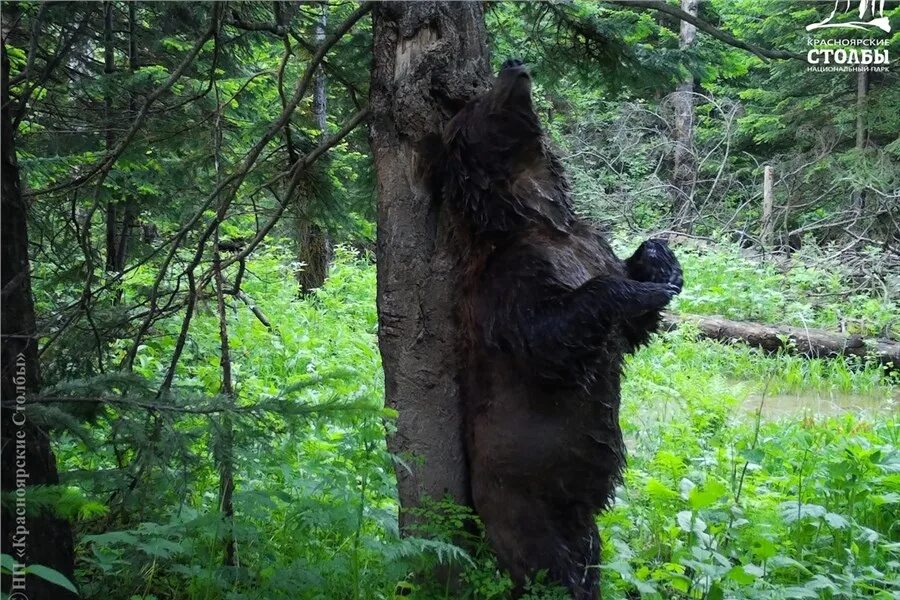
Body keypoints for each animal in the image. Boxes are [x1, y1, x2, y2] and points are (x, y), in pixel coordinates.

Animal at [423, 59, 683, 599]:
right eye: (478, 101)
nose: (513, 64)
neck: (537, 216)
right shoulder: (509, 283)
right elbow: (548, 334)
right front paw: (640, 290)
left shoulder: (589, 243)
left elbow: (632, 325)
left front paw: (660, 262)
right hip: (523, 499)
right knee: (549, 566)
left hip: (574, 513)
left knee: (587, 551)